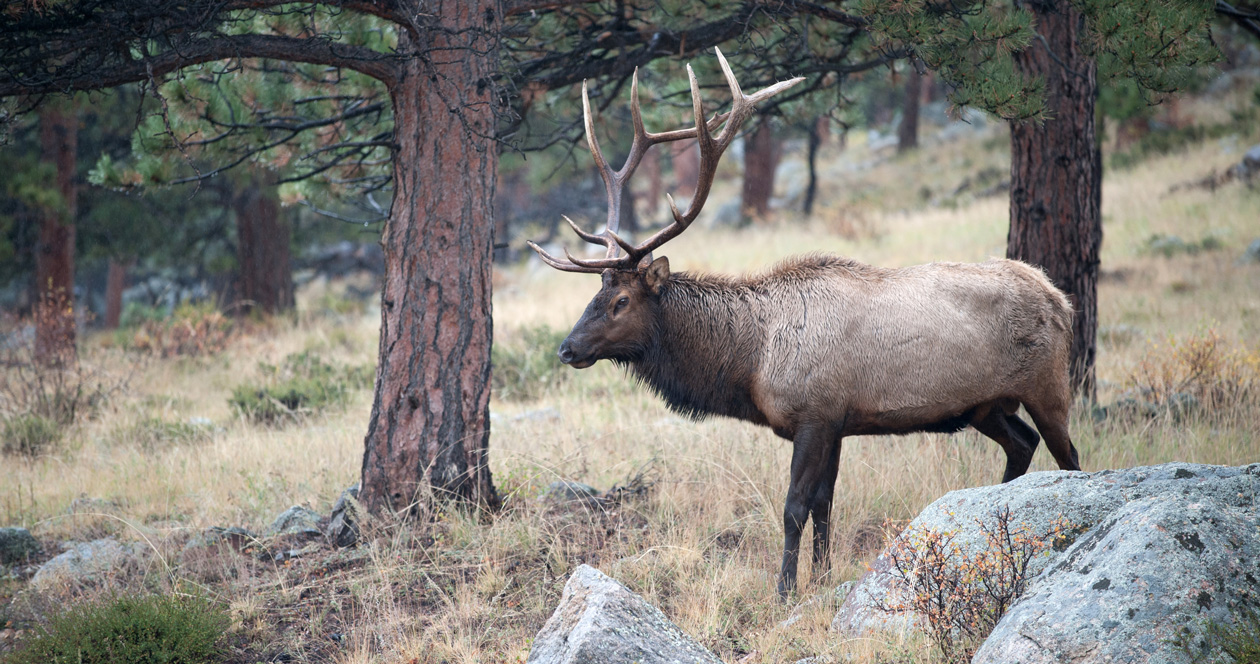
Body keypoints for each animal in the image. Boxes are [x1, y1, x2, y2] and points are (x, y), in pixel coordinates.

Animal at [528, 49, 1083, 598]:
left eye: (620, 301)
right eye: (595, 293)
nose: (567, 349)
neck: (751, 361)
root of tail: (1062, 300)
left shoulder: (815, 414)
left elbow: (795, 506)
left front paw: (785, 589)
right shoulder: (838, 420)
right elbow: (824, 505)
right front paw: (821, 576)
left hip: (1047, 383)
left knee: (1069, 457)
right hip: (984, 405)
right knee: (1022, 443)